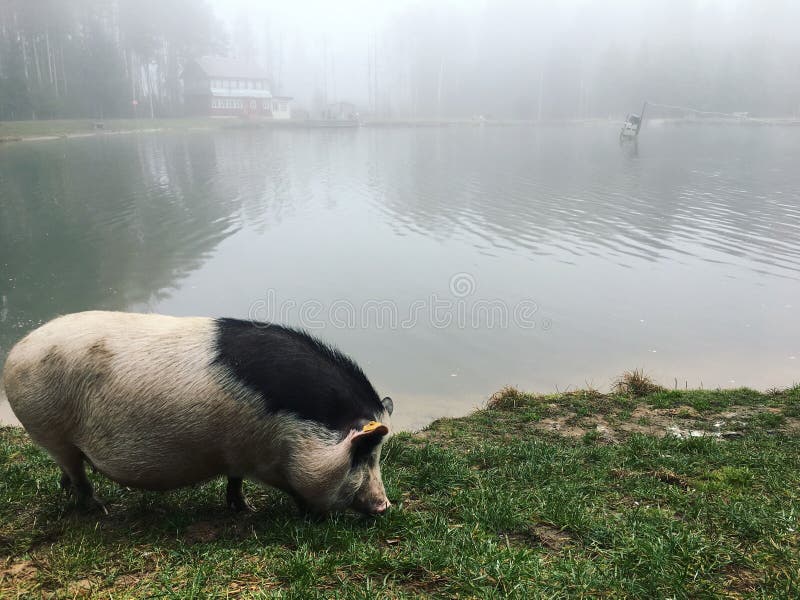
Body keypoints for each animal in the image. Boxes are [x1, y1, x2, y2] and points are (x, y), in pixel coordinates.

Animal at [2, 311, 394, 515]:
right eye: (364, 453)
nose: (384, 506)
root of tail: (15, 353)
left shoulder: (238, 453)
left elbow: (234, 479)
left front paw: (243, 509)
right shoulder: (257, 452)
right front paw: (253, 511)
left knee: (70, 471)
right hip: (50, 430)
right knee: (76, 471)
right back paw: (100, 509)